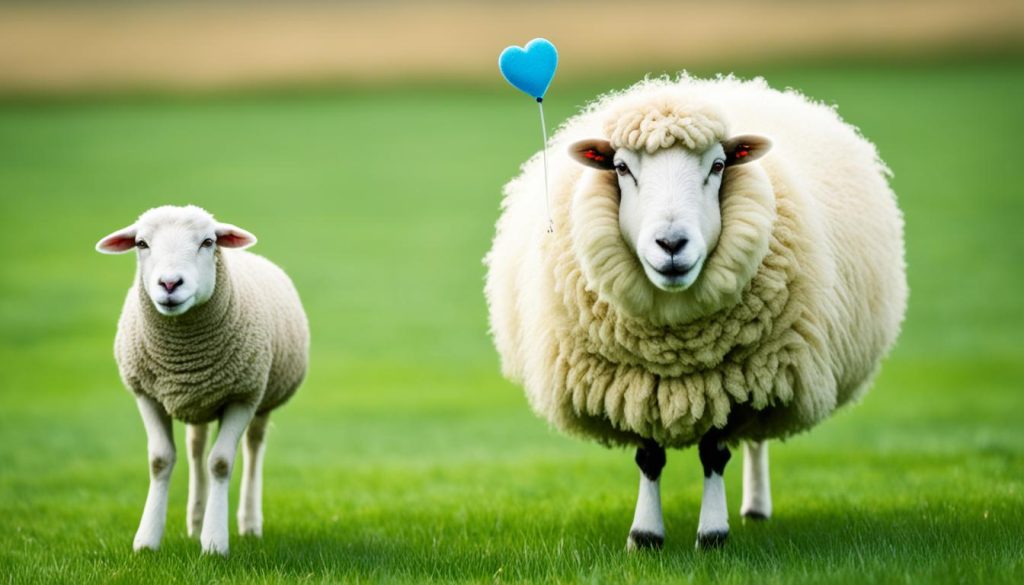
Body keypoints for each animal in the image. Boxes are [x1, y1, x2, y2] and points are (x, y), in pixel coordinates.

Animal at [95, 205, 309, 556]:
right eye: (141, 244)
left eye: (208, 242)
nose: (170, 283)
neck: (184, 360)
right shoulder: (146, 394)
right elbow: (160, 460)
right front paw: (147, 540)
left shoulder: (242, 396)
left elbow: (221, 462)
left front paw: (214, 542)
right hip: (198, 403)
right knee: (195, 449)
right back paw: (195, 521)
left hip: (262, 400)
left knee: (253, 448)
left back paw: (249, 524)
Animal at [484, 75, 907, 549]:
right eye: (622, 168)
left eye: (718, 166)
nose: (671, 244)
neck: (676, 348)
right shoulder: (633, 383)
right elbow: (648, 456)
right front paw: (645, 535)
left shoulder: (733, 383)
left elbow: (714, 453)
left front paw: (712, 534)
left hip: (769, 371)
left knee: (755, 440)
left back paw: (755, 508)